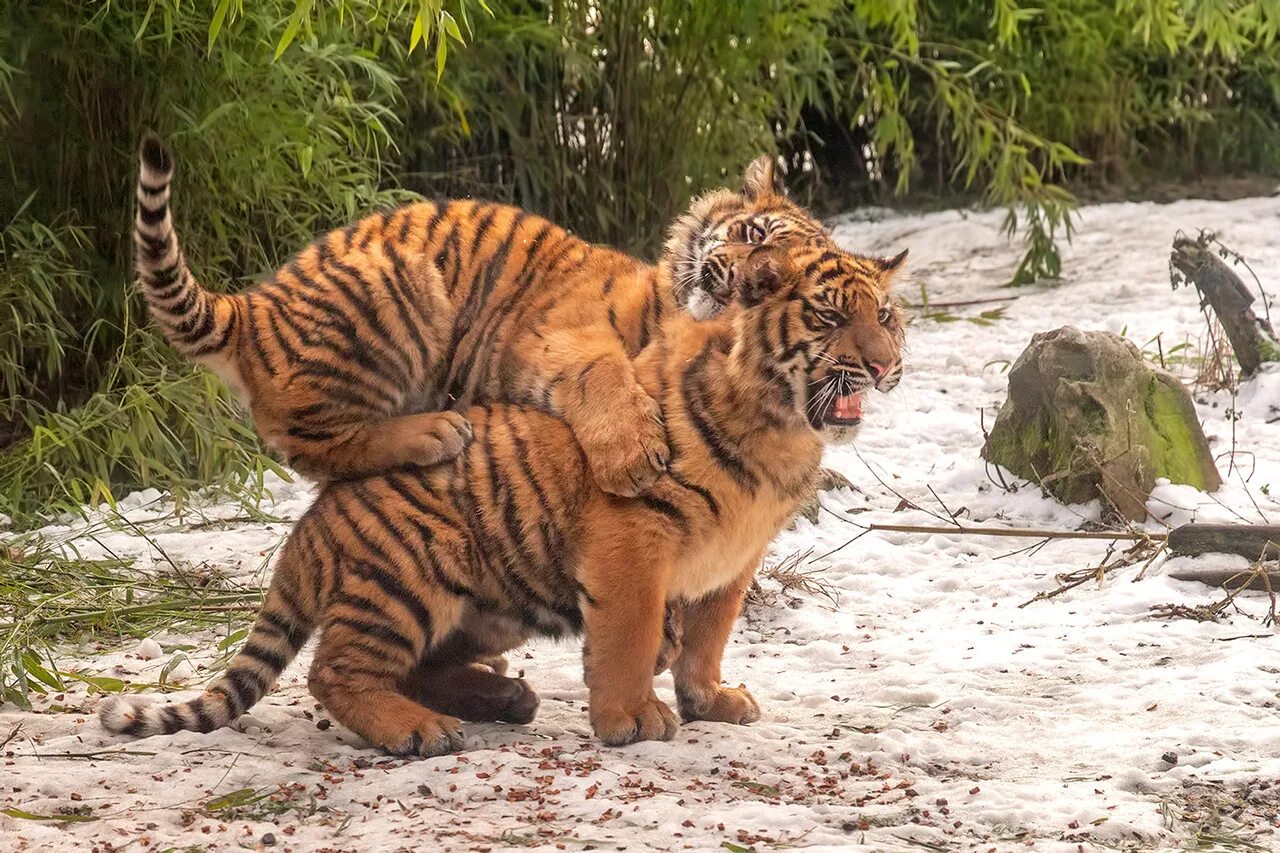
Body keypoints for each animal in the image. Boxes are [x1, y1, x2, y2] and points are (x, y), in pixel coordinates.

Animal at [100, 239, 908, 754]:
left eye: (887, 316)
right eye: (830, 317)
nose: (882, 366)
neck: (782, 432)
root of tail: (310, 528)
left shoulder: (734, 560)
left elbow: (707, 638)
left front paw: (709, 700)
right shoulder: (631, 541)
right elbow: (630, 633)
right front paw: (630, 718)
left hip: (491, 607)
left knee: (410, 667)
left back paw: (503, 700)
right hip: (412, 573)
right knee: (336, 670)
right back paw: (420, 731)